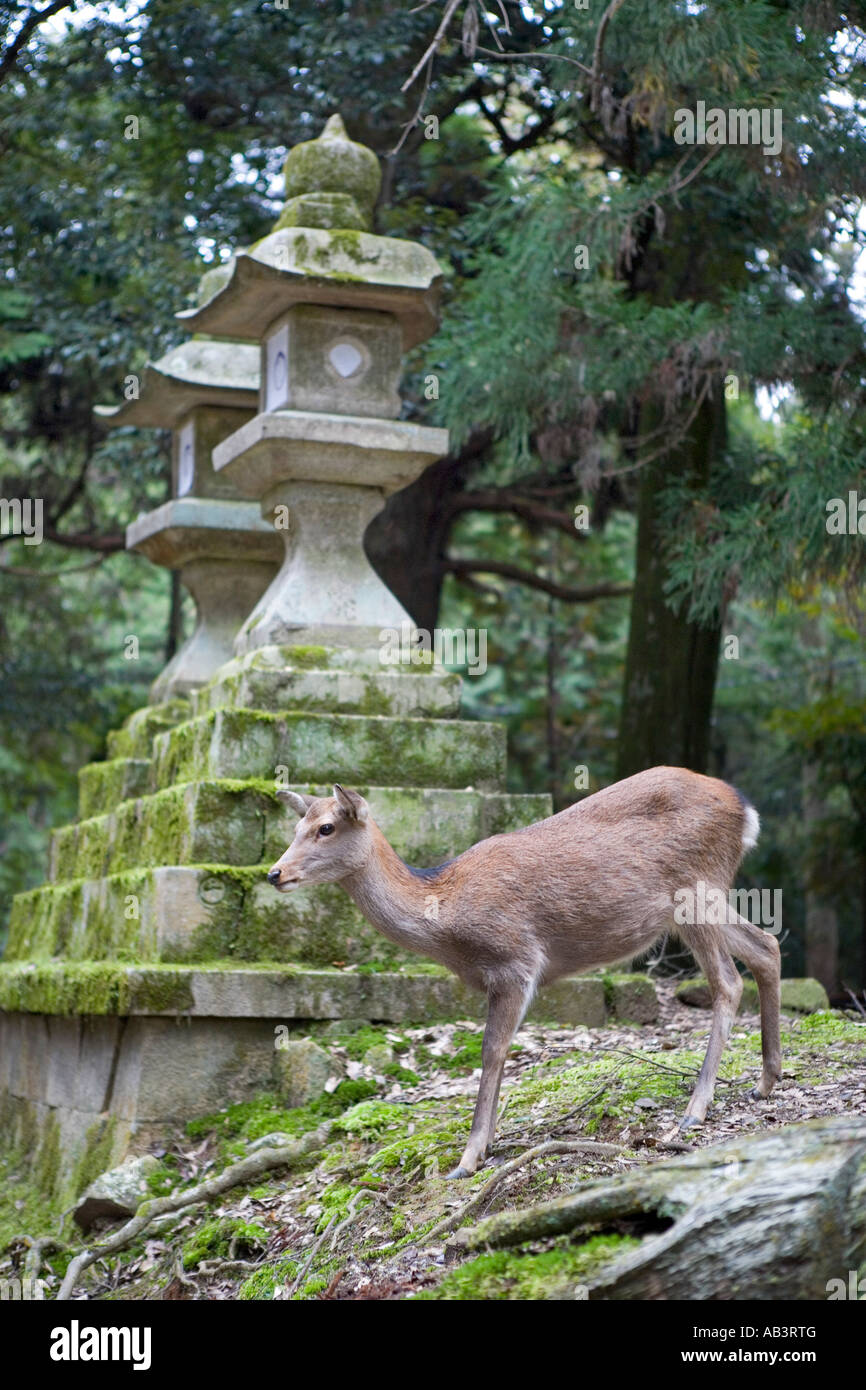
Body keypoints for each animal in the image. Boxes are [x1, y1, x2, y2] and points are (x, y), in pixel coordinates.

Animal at [267, 767, 782, 1178]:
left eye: (326, 827)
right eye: (296, 826)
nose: (275, 873)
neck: (444, 913)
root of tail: (746, 810)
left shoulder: (515, 961)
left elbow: (493, 1050)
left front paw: (469, 1157)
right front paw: (488, 1141)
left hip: (696, 887)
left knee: (728, 981)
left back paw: (696, 1109)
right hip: (703, 898)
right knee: (767, 946)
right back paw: (765, 1080)